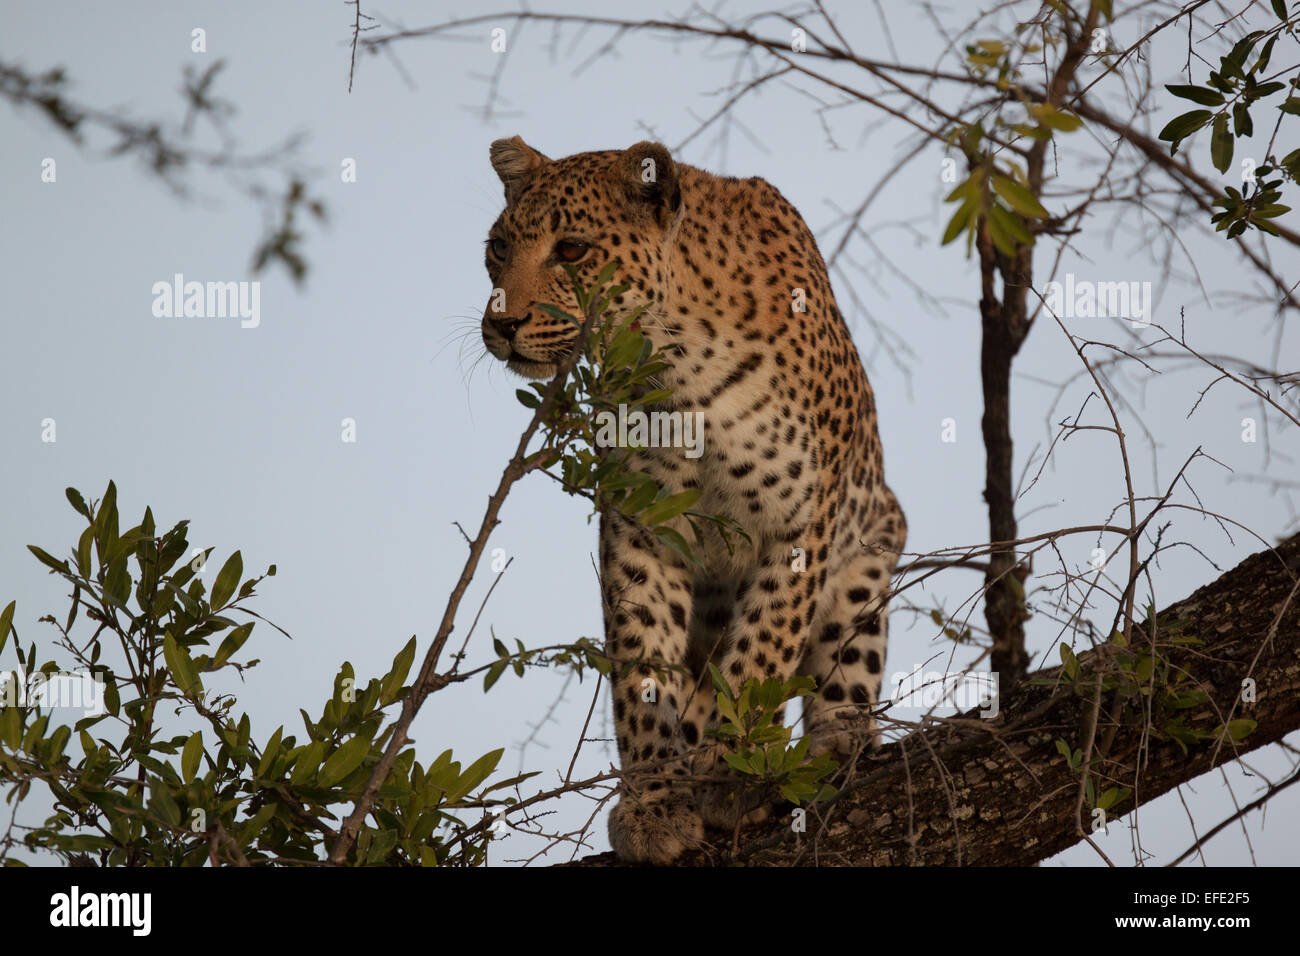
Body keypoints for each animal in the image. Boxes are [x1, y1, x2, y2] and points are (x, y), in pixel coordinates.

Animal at [480, 136, 907, 865]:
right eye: (497, 248)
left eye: (572, 250)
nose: (501, 323)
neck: (677, 368)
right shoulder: (641, 530)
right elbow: (641, 672)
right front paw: (653, 804)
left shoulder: (801, 527)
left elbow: (761, 651)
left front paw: (728, 777)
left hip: (876, 536)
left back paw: (836, 741)